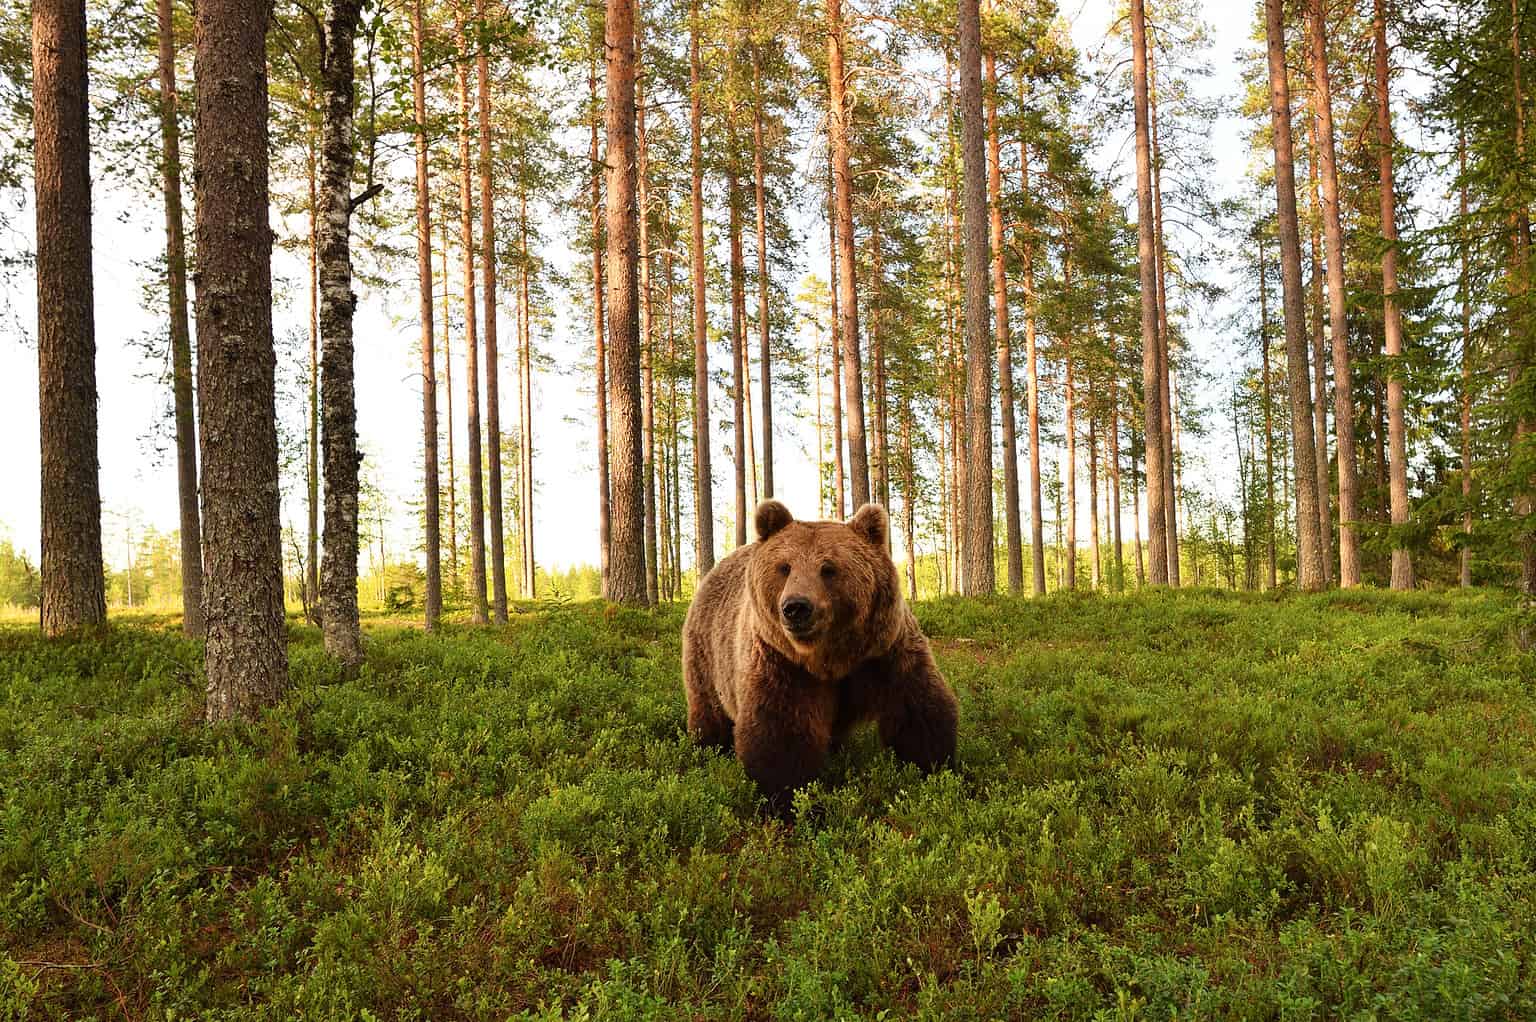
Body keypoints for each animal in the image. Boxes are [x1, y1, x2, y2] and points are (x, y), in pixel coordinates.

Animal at [682, 499, 959, 813]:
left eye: (828, 568)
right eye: (785, 567)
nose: (796, 607)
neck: (831, 657)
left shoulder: (885, 652)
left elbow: (916, 708)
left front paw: (935, 768)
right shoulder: (782, 663)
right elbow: (781, 733)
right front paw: (789, 799)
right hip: (708, 654)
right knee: (709, 708)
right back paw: (707, 747)